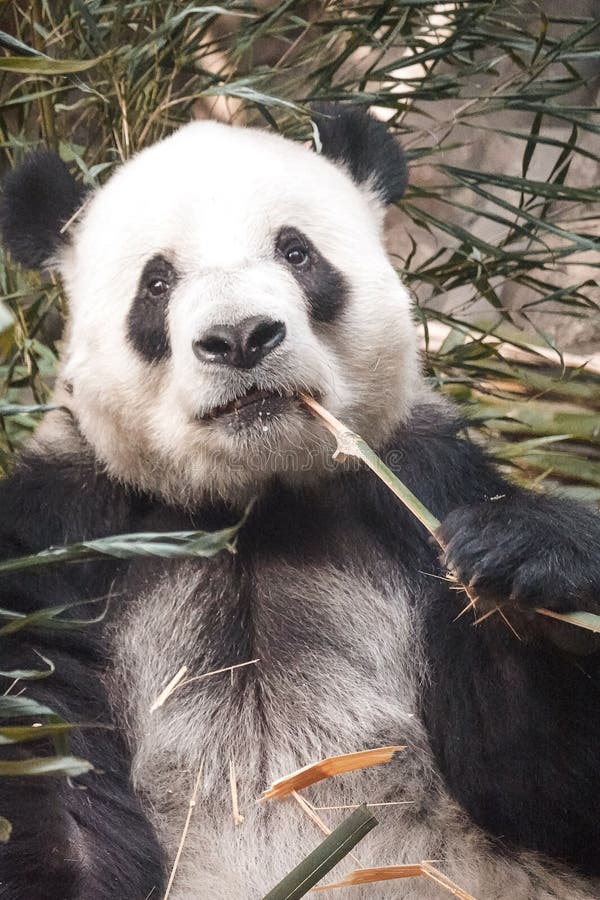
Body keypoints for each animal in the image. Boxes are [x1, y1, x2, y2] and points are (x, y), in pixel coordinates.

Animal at [0, 104, 599, 900]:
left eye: (296, 252)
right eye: (156, 282)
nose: (240, 337)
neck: (255, 501)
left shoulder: (416, 488)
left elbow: (537, 779)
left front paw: (529, 567)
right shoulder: (70, 535)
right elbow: (46, 763)